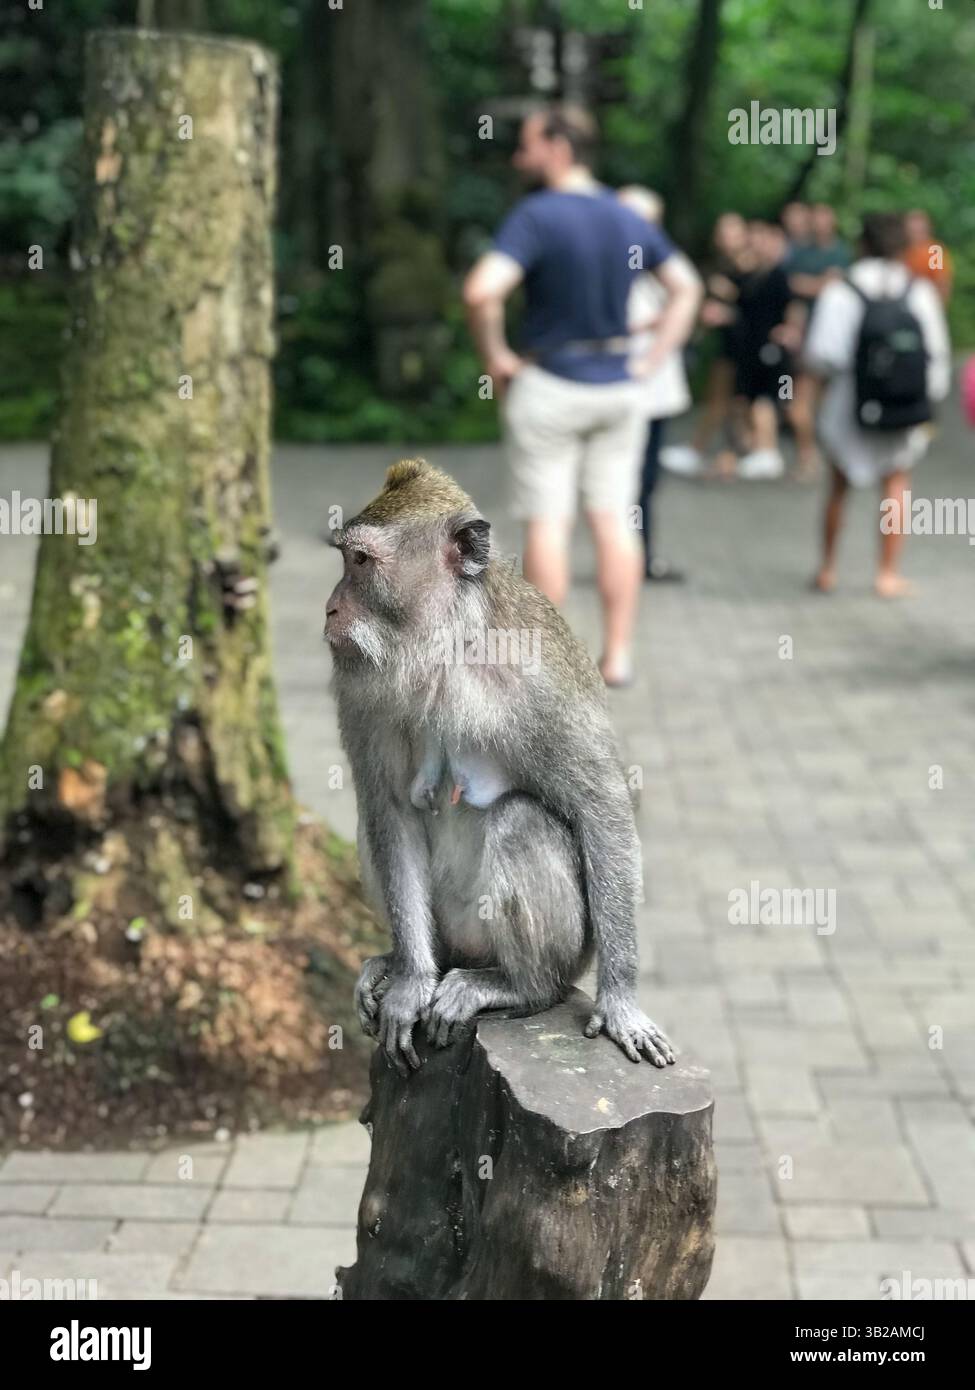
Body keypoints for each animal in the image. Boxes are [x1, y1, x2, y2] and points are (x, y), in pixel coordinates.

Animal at [324, 458, 674, 1075]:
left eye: (361, 562)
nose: (331, 608)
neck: (444, 650)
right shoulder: (359, 691)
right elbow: (388, 810)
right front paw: (411, 984)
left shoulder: (540, 681)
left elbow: (601, 807)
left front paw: (622, 1003)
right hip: (450, 936)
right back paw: (398, 962)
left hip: (561, 950)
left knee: (520, 820)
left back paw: (521, 986)